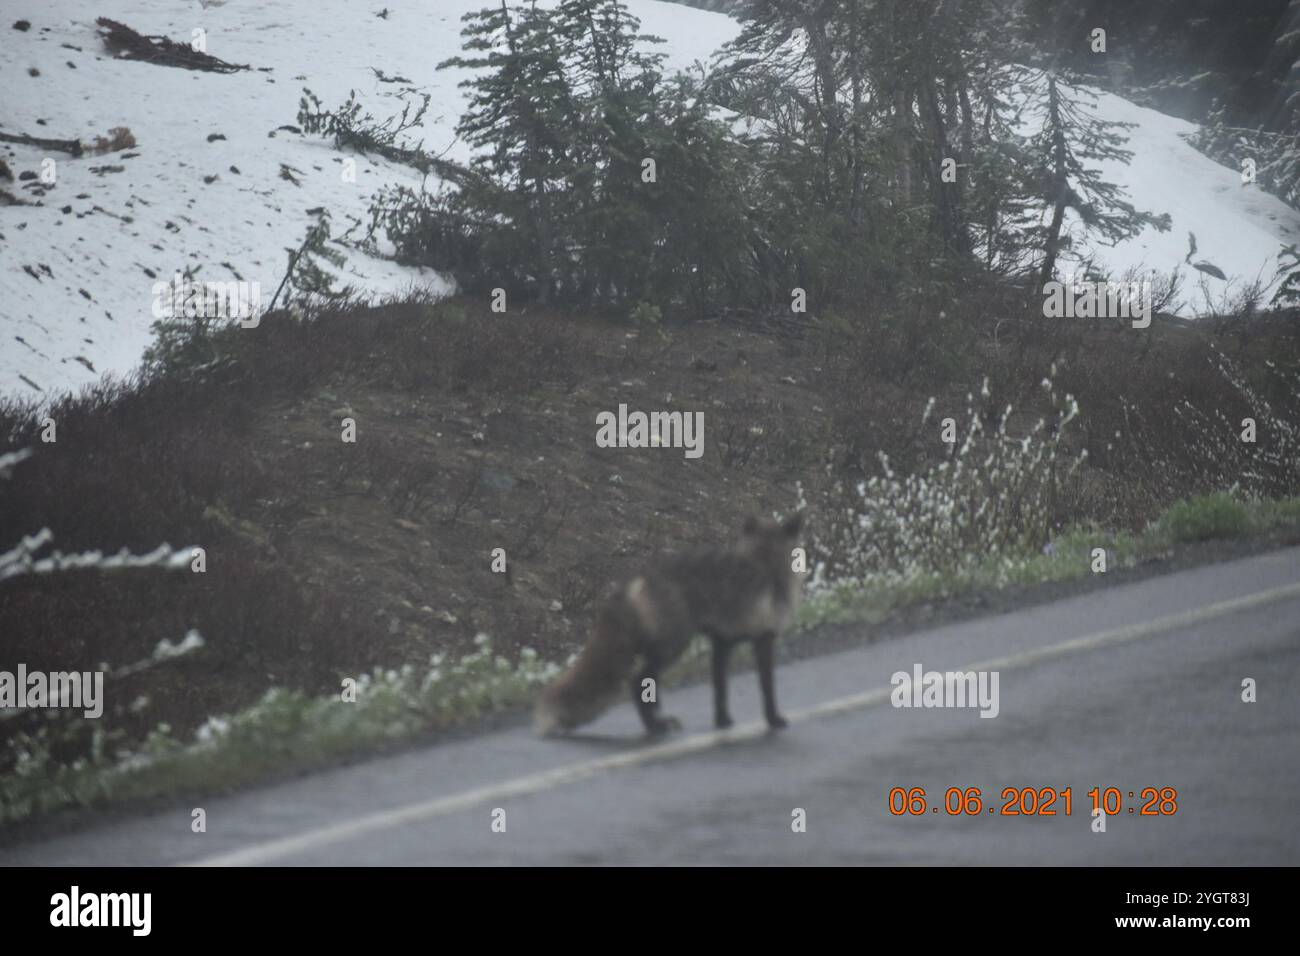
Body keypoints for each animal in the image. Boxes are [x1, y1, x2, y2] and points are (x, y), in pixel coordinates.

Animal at [534, 513, 804, 737]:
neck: (765, 563)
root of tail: (636, 578)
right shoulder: (764, 638)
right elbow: (767, 688)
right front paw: (773, 720)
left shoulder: (722, 642)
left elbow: (720, 688)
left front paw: (722, 721)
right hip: (673, 646)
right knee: (637, 682)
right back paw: (654, 727)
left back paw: (657, 722)